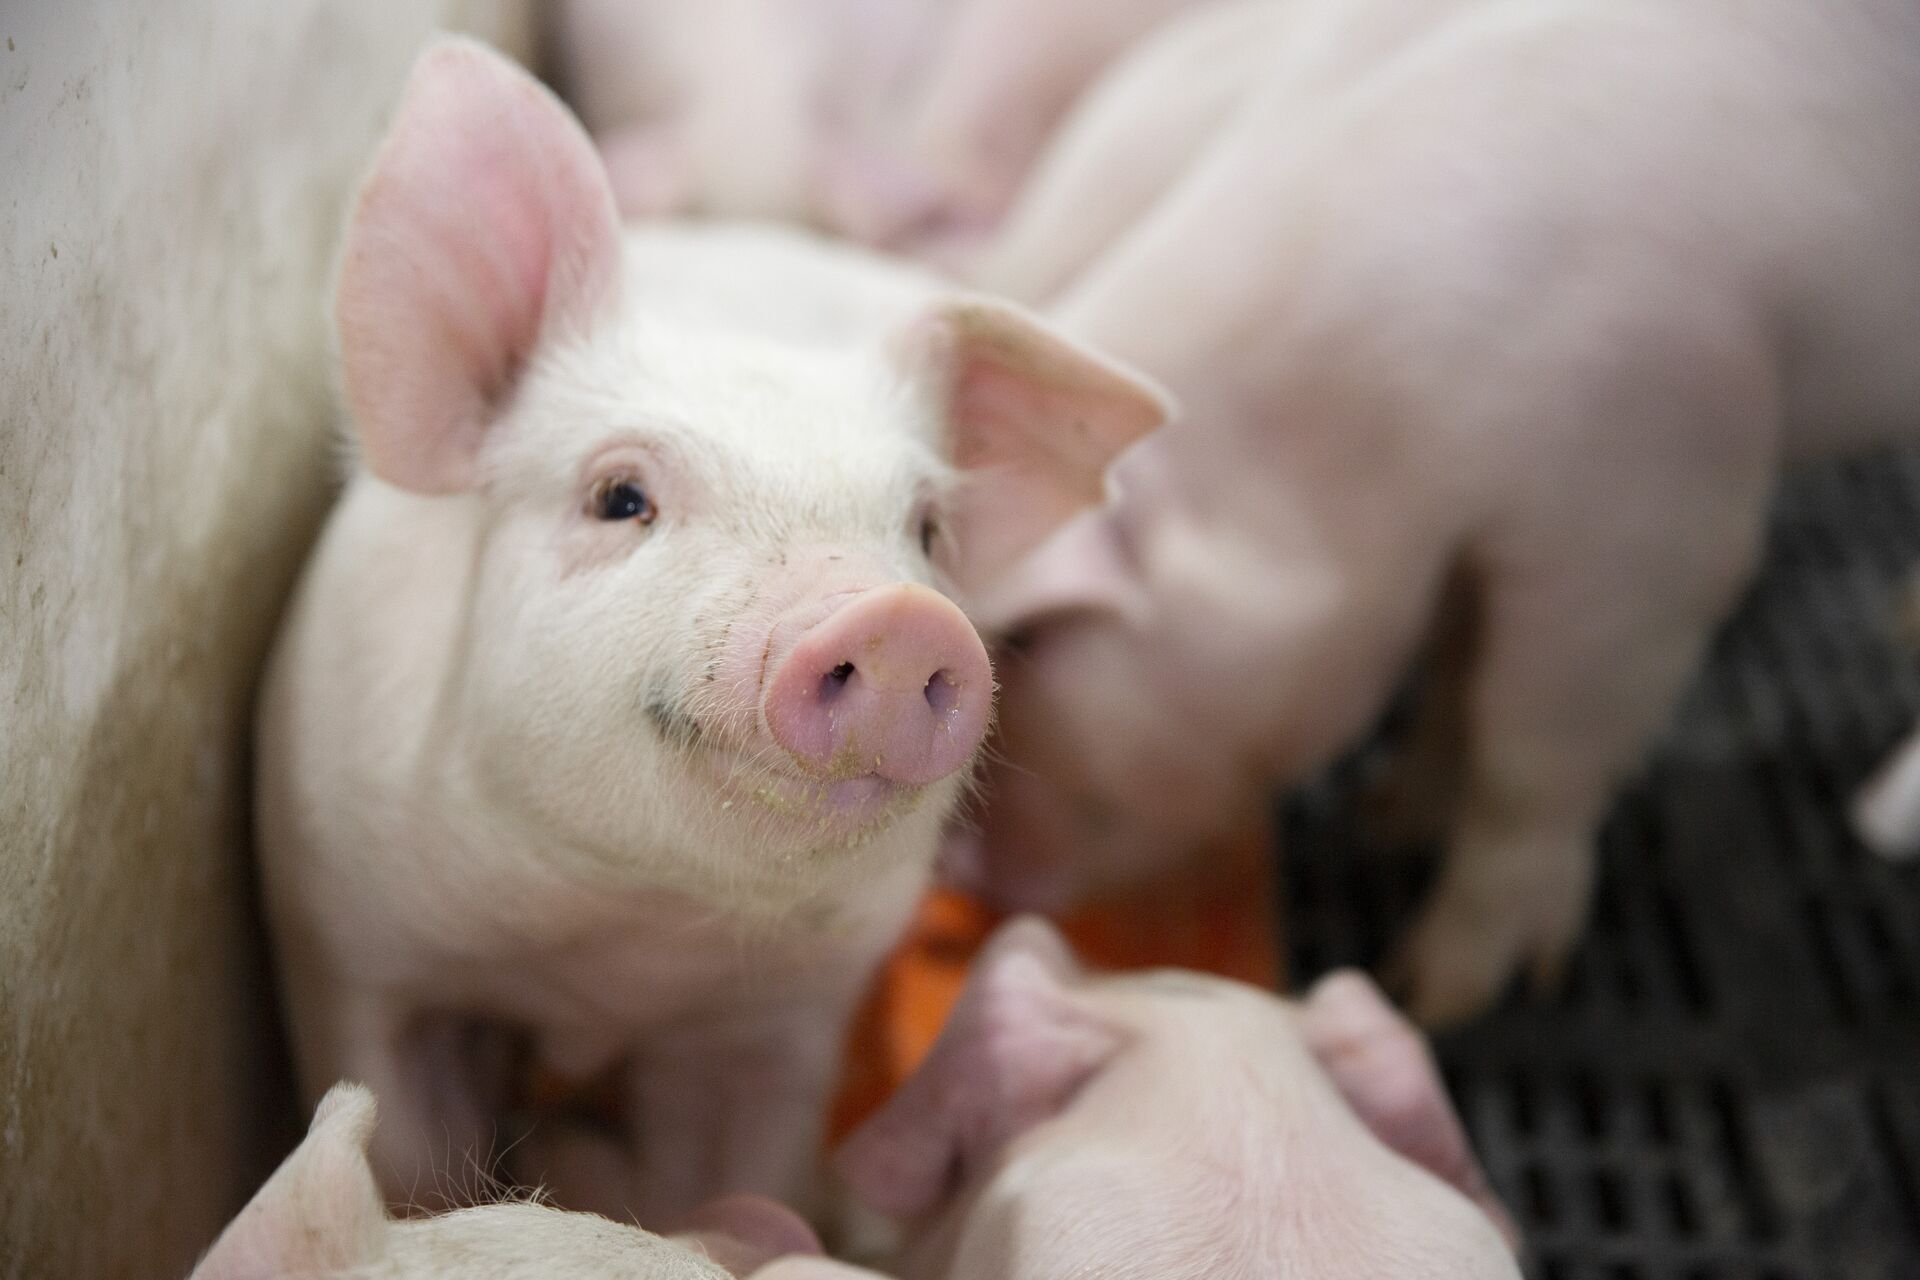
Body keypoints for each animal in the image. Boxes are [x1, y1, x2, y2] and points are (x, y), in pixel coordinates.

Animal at [255, 37, 1170, 1229]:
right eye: (619, 497)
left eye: (927, 530)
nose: (897, 619)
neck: (620, 937)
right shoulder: (346, 939)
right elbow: (397, 1141)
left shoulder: (779, 1021)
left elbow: (737, 1169)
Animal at [954, 0, 1920, 1025]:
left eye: (1032, 640)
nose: (969, 881)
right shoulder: (1465, 539)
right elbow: (1460, 667)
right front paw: (1386, 819)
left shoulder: (1649, 506)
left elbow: (1532, 746)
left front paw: (1432, 994)